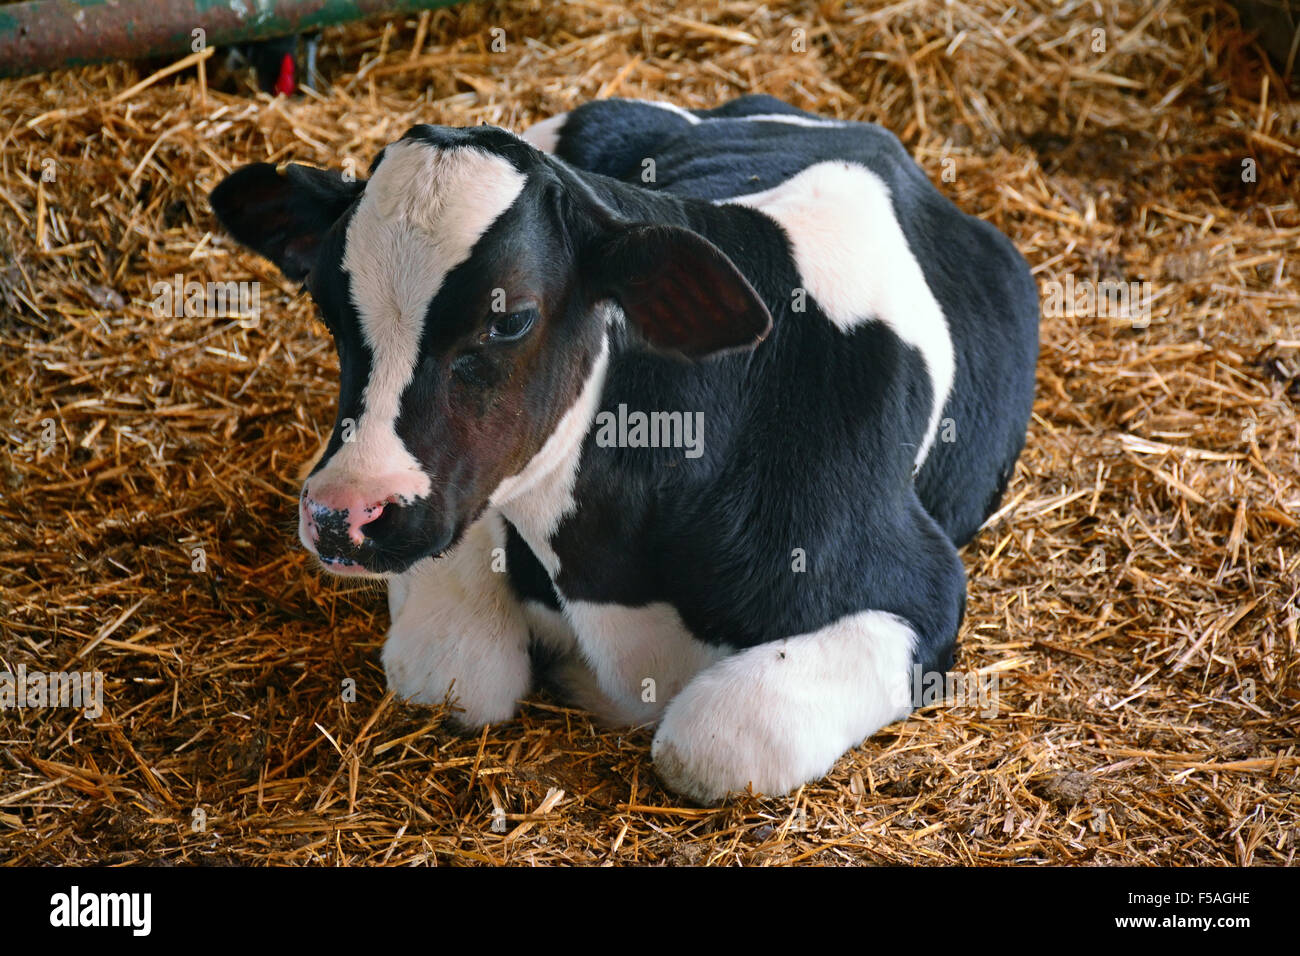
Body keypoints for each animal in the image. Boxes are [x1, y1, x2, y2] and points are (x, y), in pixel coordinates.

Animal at [209, 94, 1039, 804]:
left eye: (511, 318)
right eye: (327, 306)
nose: (343, 513)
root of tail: (858, 132)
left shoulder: (918, 589)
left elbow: (710, 741)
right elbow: (455, 672)